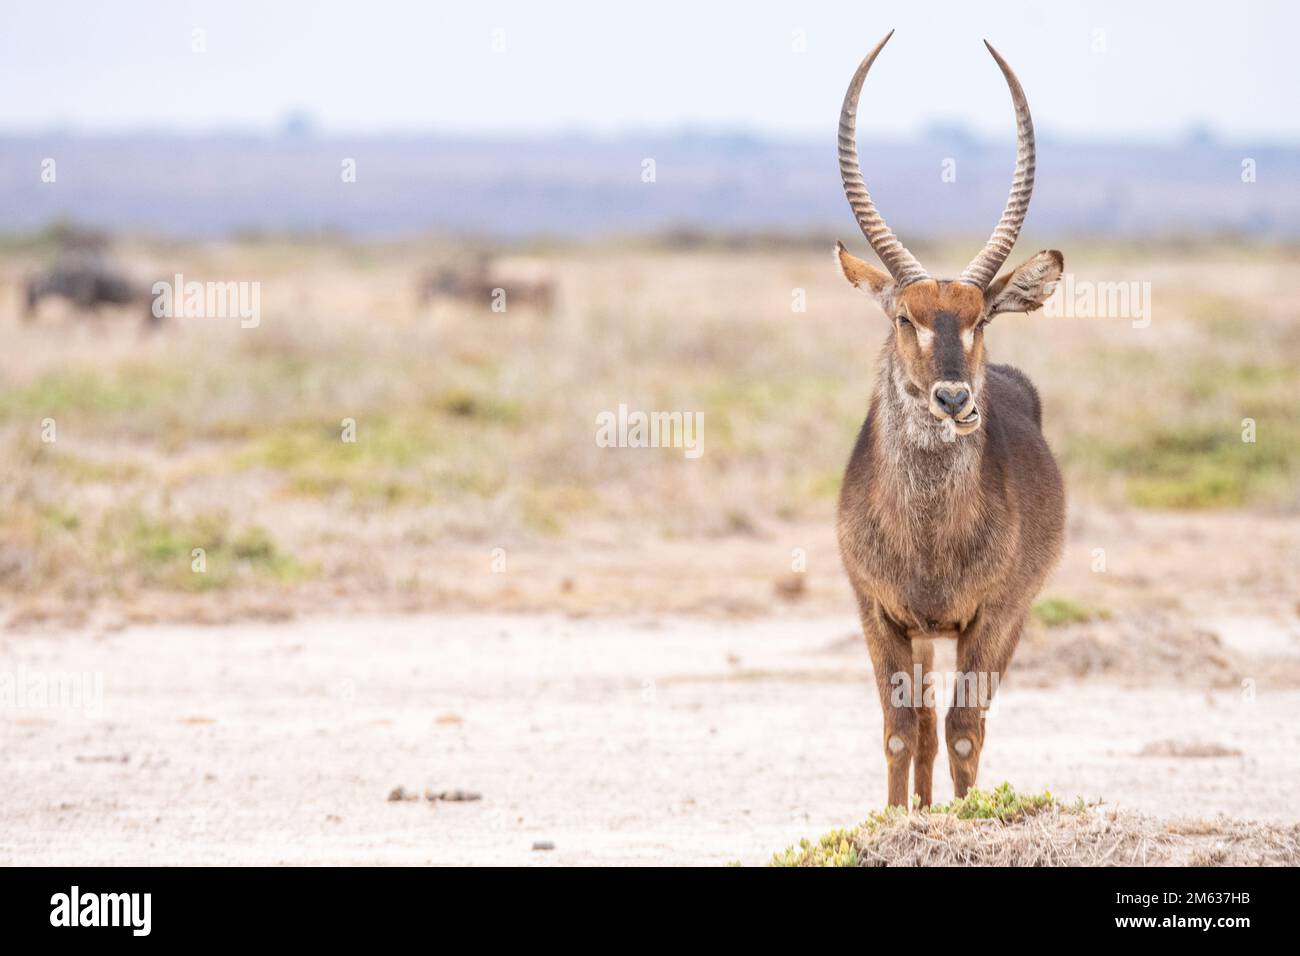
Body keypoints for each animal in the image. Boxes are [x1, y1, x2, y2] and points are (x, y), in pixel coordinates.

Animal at [833, 33, 1066, 808]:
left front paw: (967, 821)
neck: (929, 533)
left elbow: (966, 732)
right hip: (922, 634)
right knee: (924, 730)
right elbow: (901, 732)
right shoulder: (879, 613)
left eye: (980, 318)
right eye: (905, 316)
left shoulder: (991, 616)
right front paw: (898, 821)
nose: (954, 400)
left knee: (962, 726)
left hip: (998, 622)